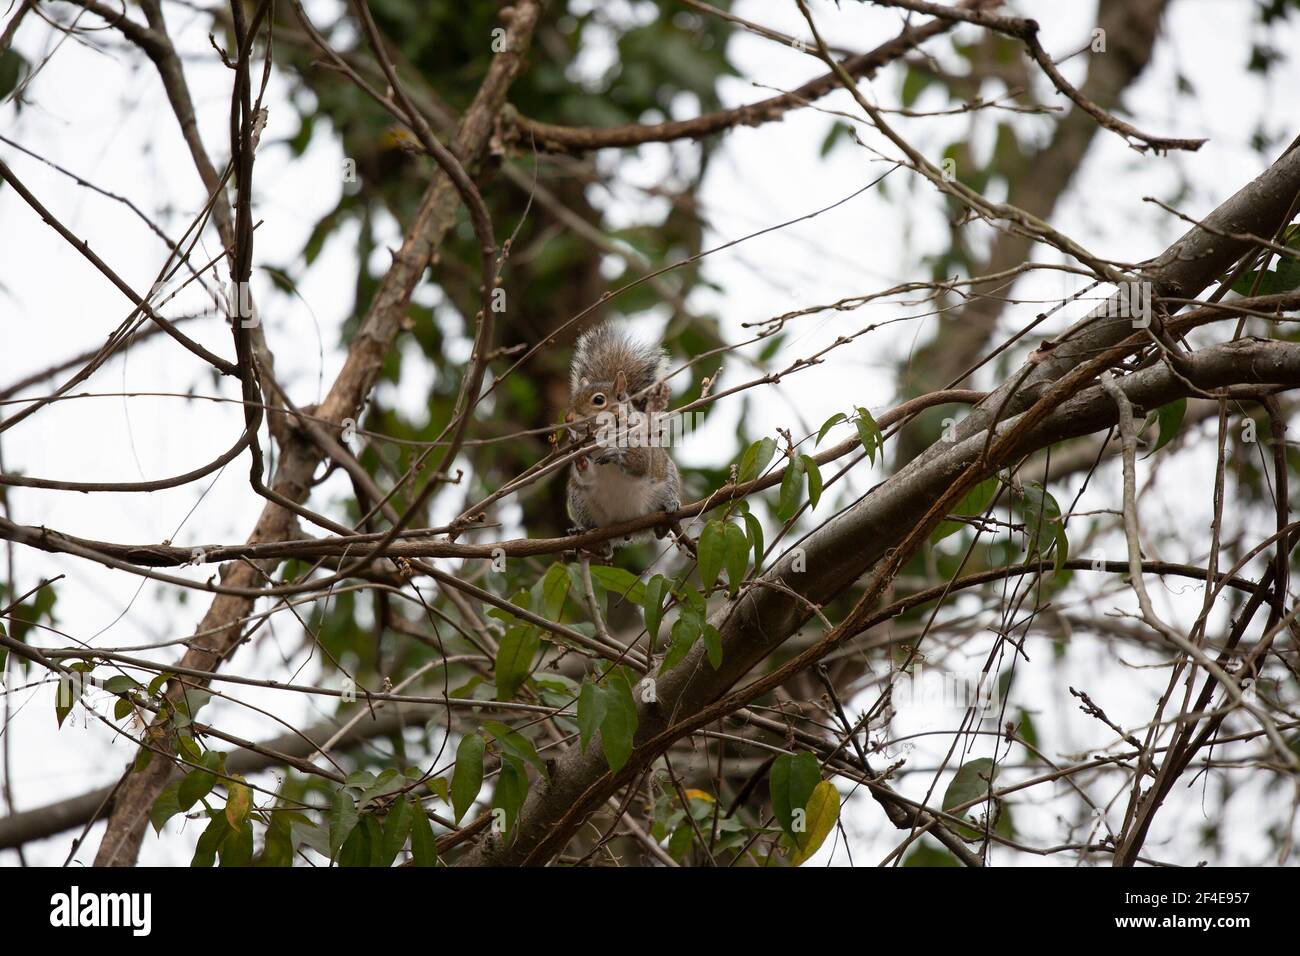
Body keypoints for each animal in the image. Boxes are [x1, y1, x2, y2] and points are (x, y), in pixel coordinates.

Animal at [564, 323, 684, 549]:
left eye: (598, 400)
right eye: (572, 398)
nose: (568, 418)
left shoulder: (640, 445)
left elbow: (640, 463)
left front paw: (616, 453)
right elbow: (587, 475)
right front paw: (581, 461)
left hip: (666, 481)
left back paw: (666, 515)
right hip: (580, 502)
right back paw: (589, 538)